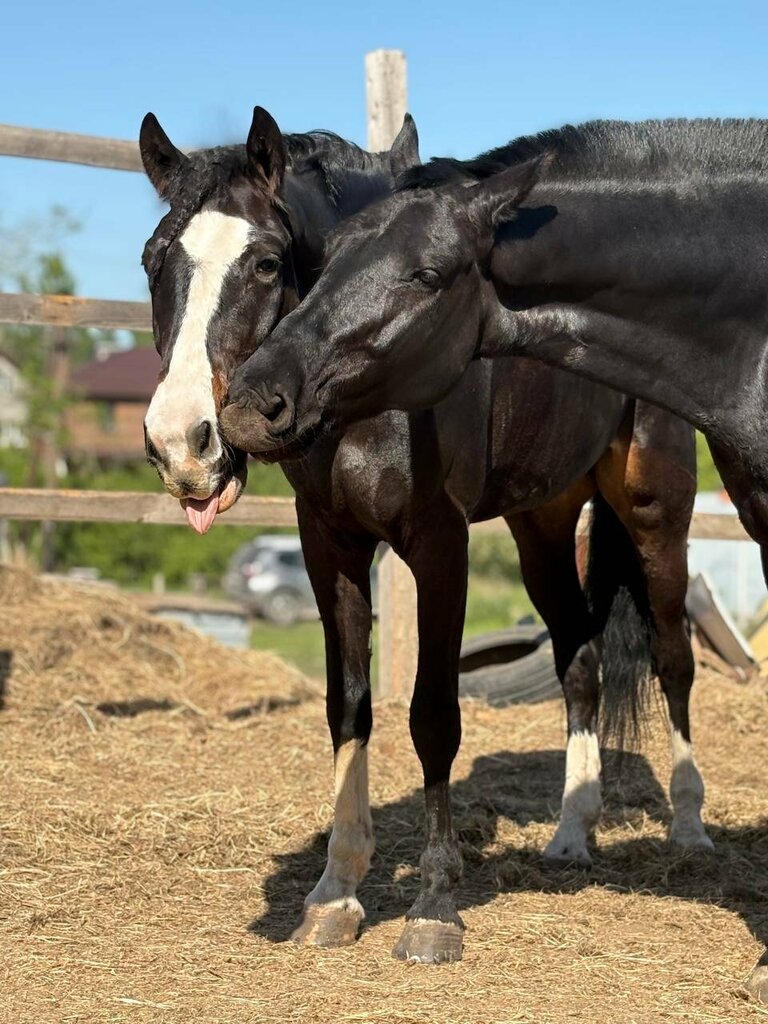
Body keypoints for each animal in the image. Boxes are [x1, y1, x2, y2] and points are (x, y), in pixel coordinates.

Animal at [218, 117, 768, 995]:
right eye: (320, 263)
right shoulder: (332, 540)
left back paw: (688, 823)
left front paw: (433, 913)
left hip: (658, 519)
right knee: (581, 662)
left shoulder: (439, 542)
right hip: (544, 526)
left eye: (428, 274)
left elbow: (432, 716)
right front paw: (336, 895)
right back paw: (573, 833)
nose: (249, 401)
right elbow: (352, 705)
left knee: (674, 659)